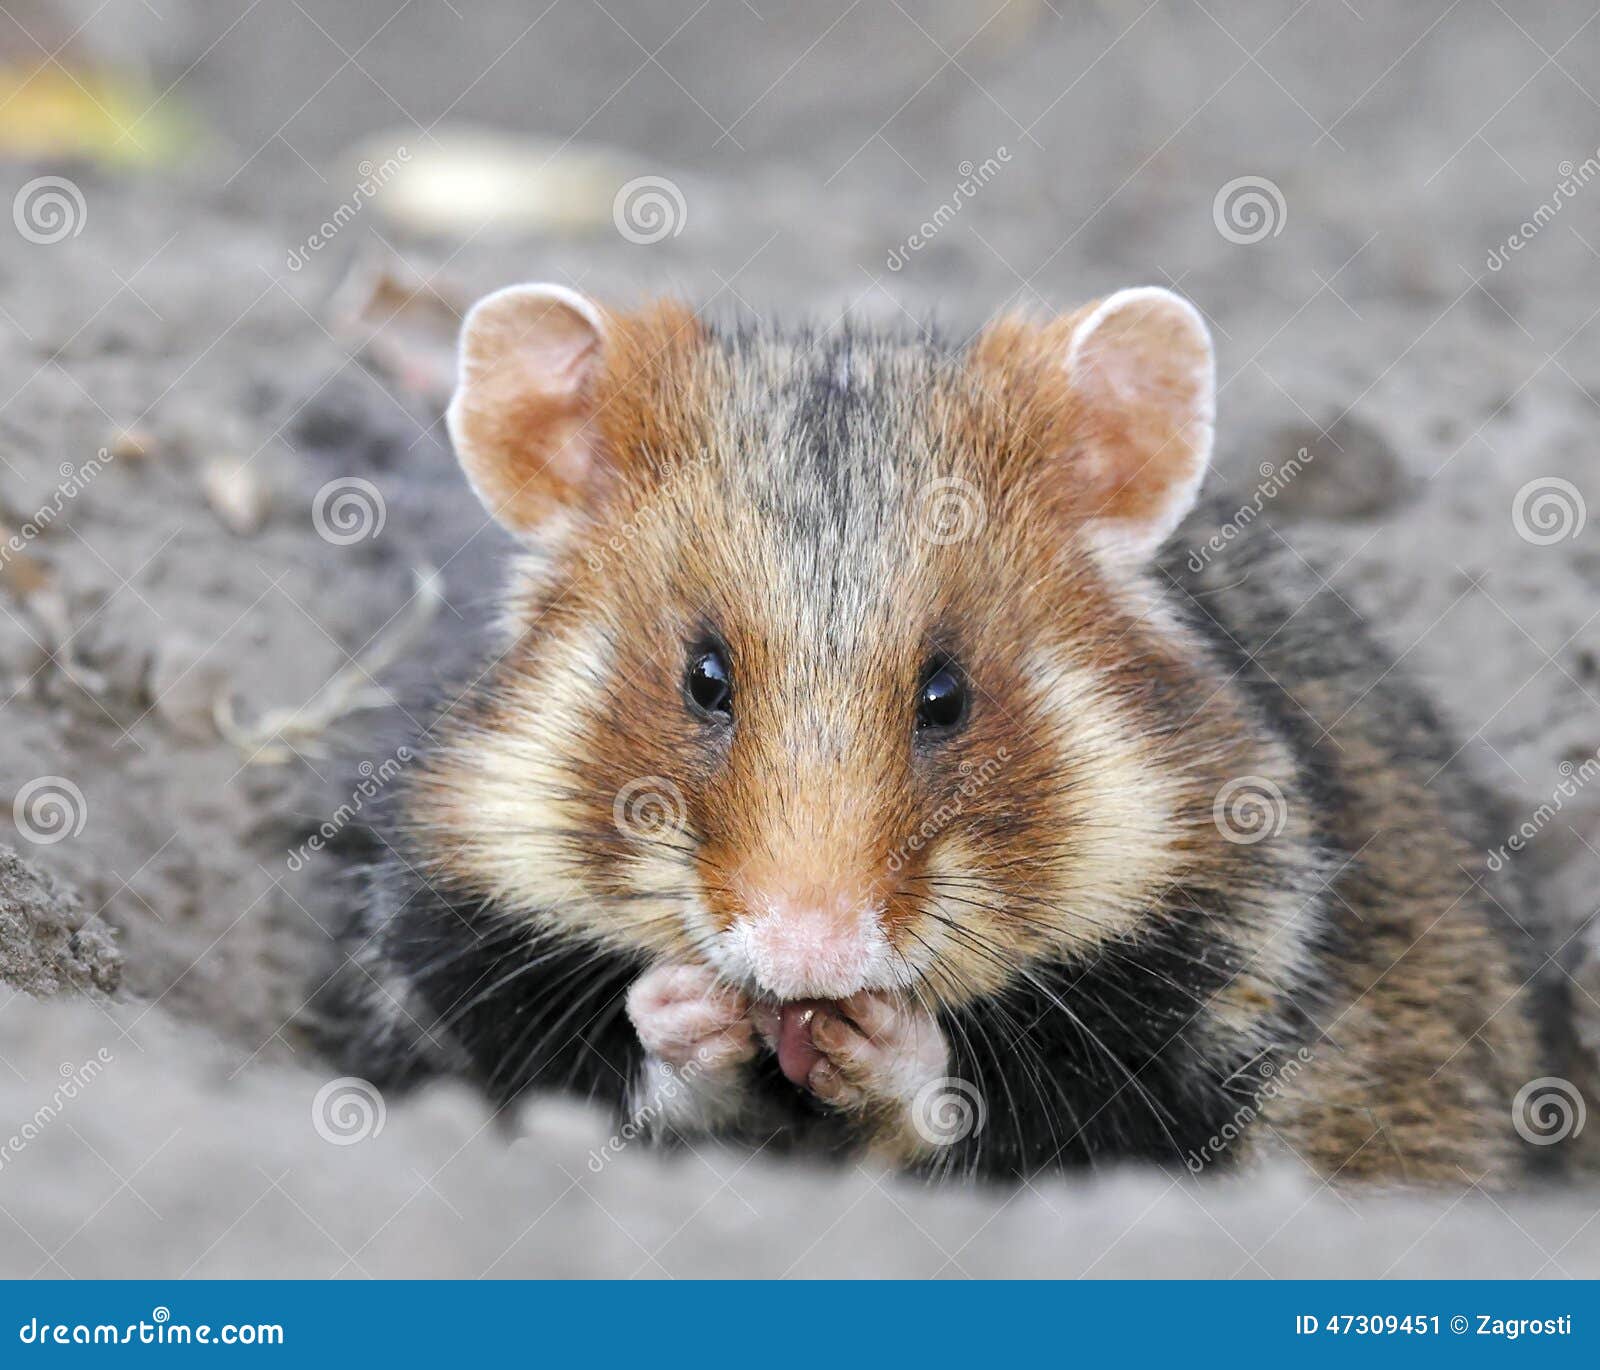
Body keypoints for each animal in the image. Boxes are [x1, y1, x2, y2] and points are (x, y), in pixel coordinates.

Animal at [325, 282, 1554, 1183]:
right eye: (703, 678)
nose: (807, 957)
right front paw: (684, 1008)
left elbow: (986, 1104)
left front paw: (881, 1038)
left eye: (947, 694)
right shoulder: (447, 960)